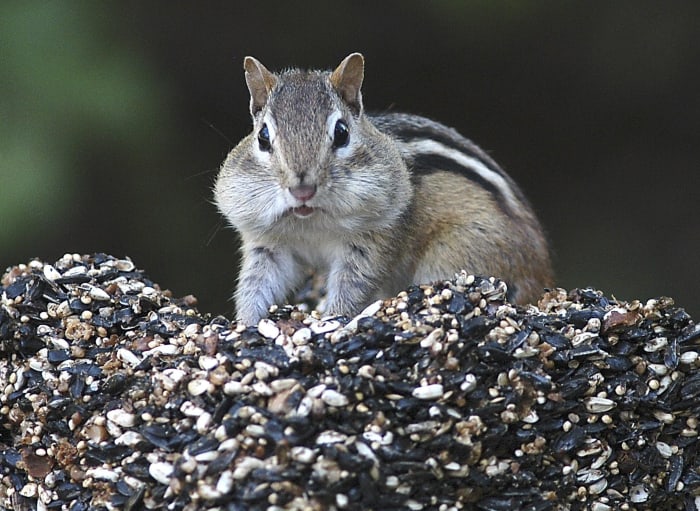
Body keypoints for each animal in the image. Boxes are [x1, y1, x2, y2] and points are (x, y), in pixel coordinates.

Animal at [214, 53, 554, 325]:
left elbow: (353, 285)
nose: (303, 190)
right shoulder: (268, 245)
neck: (311, 223)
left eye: (342, 132)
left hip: (460, 254)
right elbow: (257, 284)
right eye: (262, 137)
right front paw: (246, 324)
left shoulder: (372, 240)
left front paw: (331, 321)